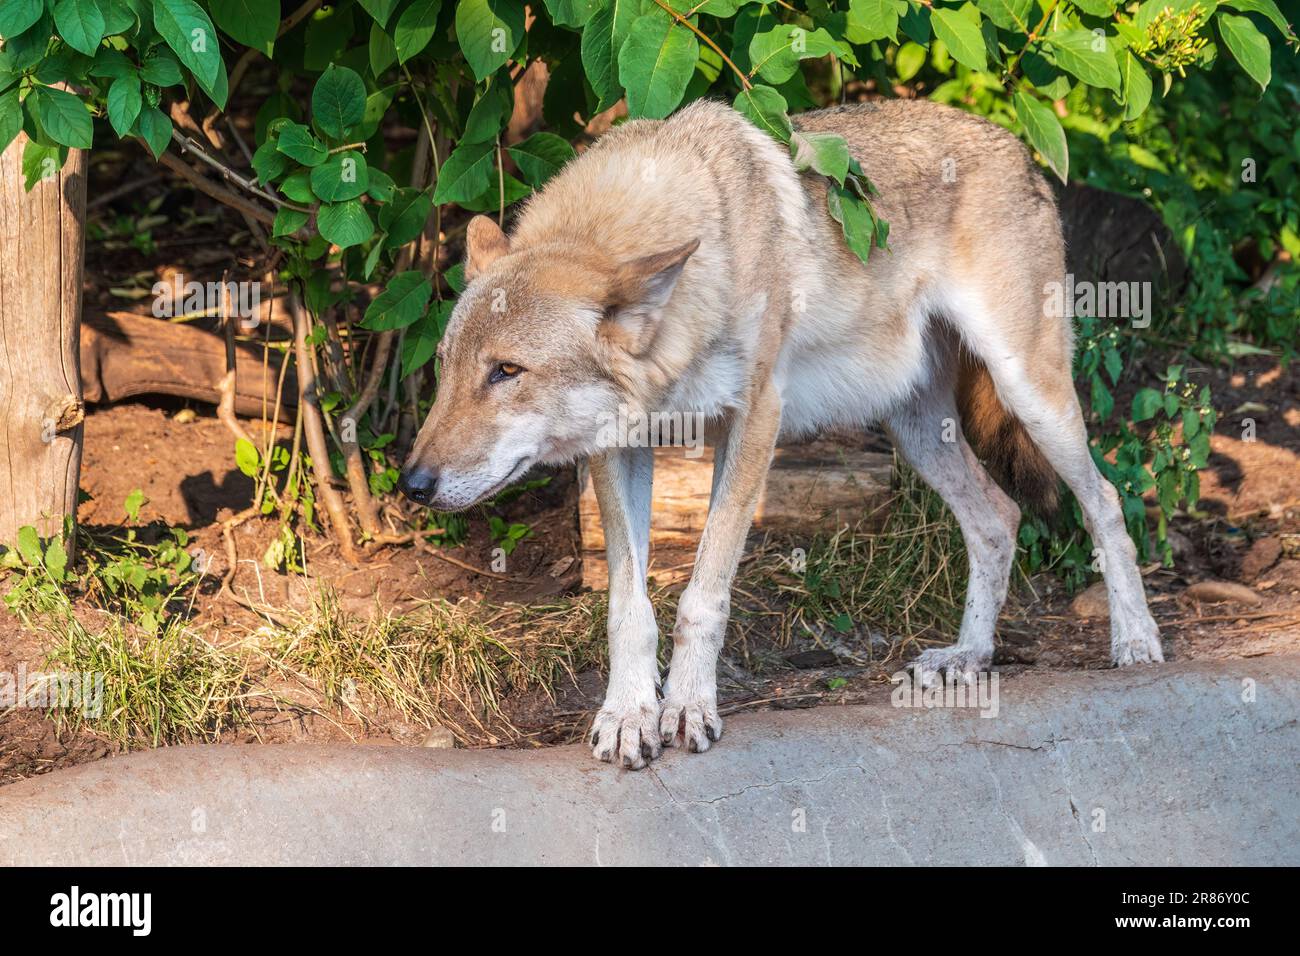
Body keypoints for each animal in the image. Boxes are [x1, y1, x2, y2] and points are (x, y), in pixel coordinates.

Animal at [399, 98, 1165, 769]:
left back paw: (1136, 641)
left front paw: (688, 710)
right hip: (915, 428)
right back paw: (968, 657)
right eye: (445, 370)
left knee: (1104, 502)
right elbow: (630, 607)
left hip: (1029, 392)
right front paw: (628, 716)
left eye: (506, 371)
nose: (412, 484)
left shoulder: (753, 421)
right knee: (999, 517)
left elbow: (702, 595)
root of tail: (1017, 146)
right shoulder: (618, 444)